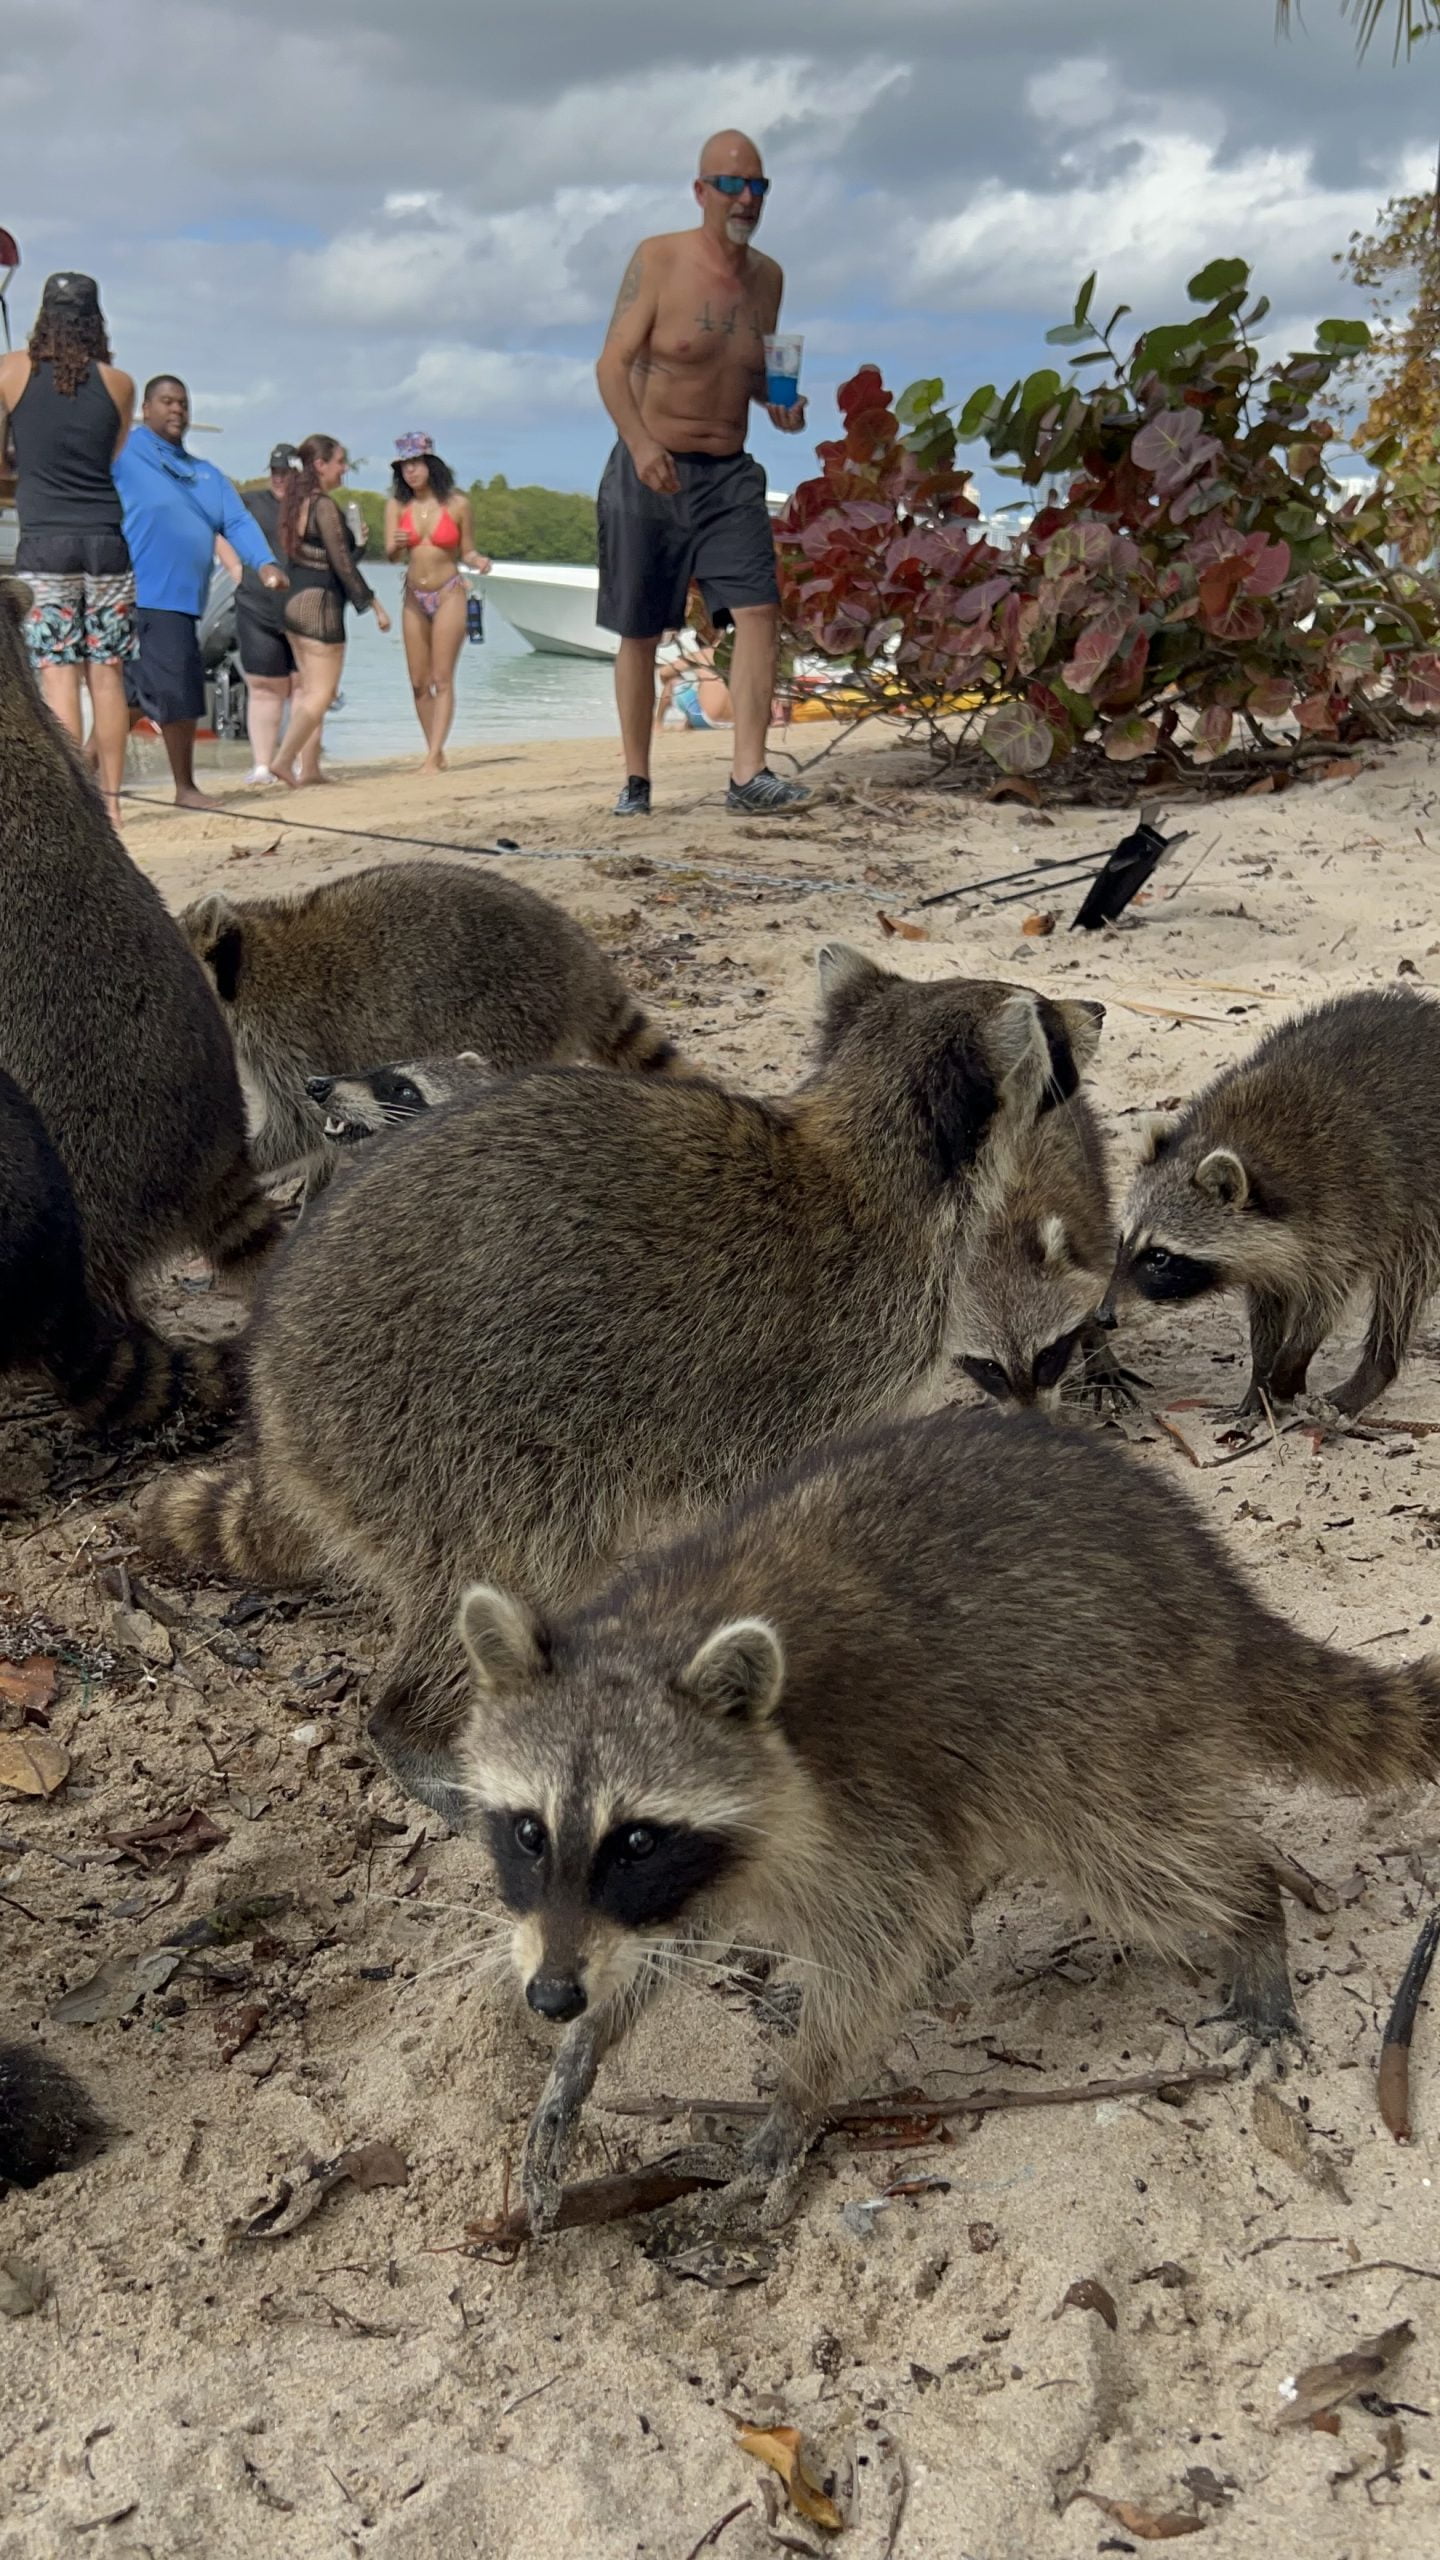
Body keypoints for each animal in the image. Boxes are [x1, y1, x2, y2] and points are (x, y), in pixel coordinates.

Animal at [451, 1402, 1440, 2228]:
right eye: (530, 1831)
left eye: (635, 1840)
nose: (551, 1996)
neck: (659, 1630)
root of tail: (1212, 1582)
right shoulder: (686, 1879)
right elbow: (662, 1944)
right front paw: (578, 2057)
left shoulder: (855, 1798)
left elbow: (881, 1938)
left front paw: (793, 2108)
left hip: (1102, 1714)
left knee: (1144, 1858)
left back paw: (1252, 1913)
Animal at [953, 1087, 1120, 1409]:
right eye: (991, 1367)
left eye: (1046, 1355)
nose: (1034, 1419)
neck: (998, 1241)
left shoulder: (1088, 1224)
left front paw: (1097, 1347)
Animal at [1105, 989, 1440, 1417]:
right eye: (1122, 1241)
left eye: (1159, 1256)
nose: (1103, 1316)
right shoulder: (1272, 1249)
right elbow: (1269, 1301)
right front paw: (1261, 1373)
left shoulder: (1351, 1208)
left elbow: (1328, 1301)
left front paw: (1289, 1361)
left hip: (1420, 1202)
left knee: (1405, 1281)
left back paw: (1378, 1365)